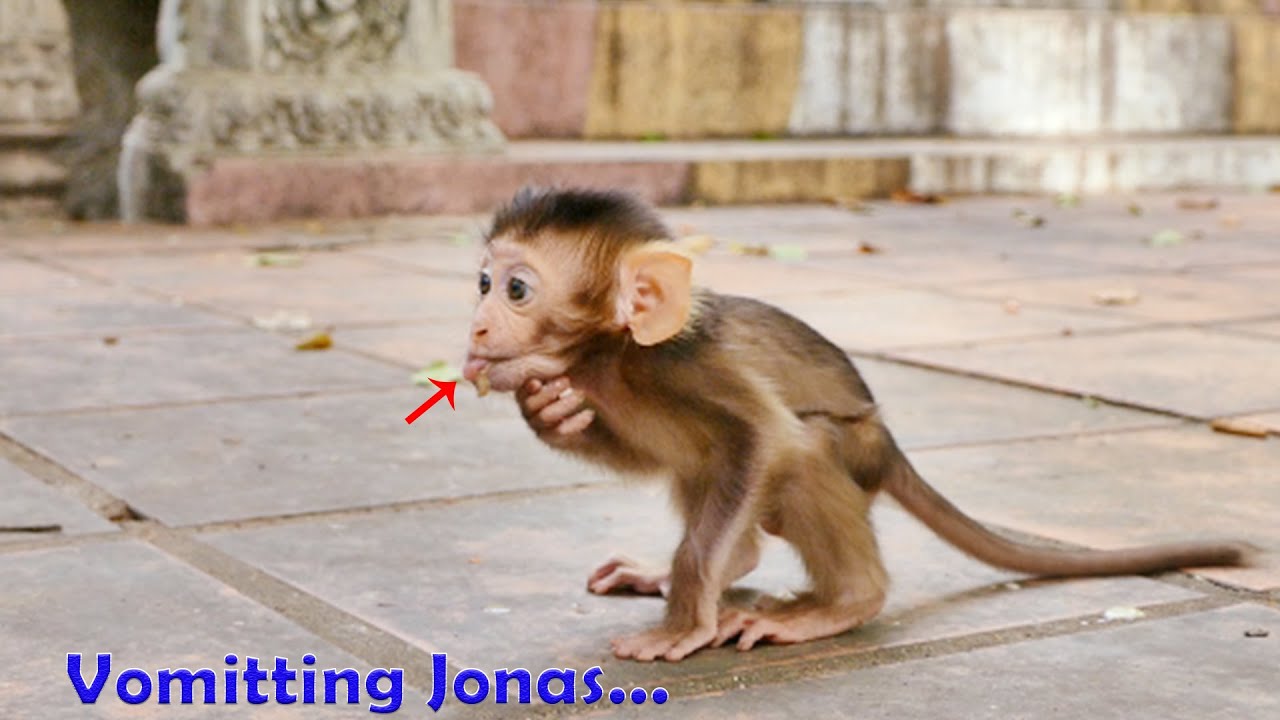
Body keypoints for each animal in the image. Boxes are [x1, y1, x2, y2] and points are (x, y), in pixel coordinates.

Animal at [461, 187, 1254, 663]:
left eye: (517, 288)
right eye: (482, 281)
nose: (476, 325)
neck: (613, 353)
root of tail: (889, 443)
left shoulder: (686, 367)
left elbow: (764, 439)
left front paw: (686, 620)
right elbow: (665, 452)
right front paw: (547, 410)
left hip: (857, 449)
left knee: (804, 449)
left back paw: (843, 604)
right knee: (705, 468)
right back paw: (731, 564)